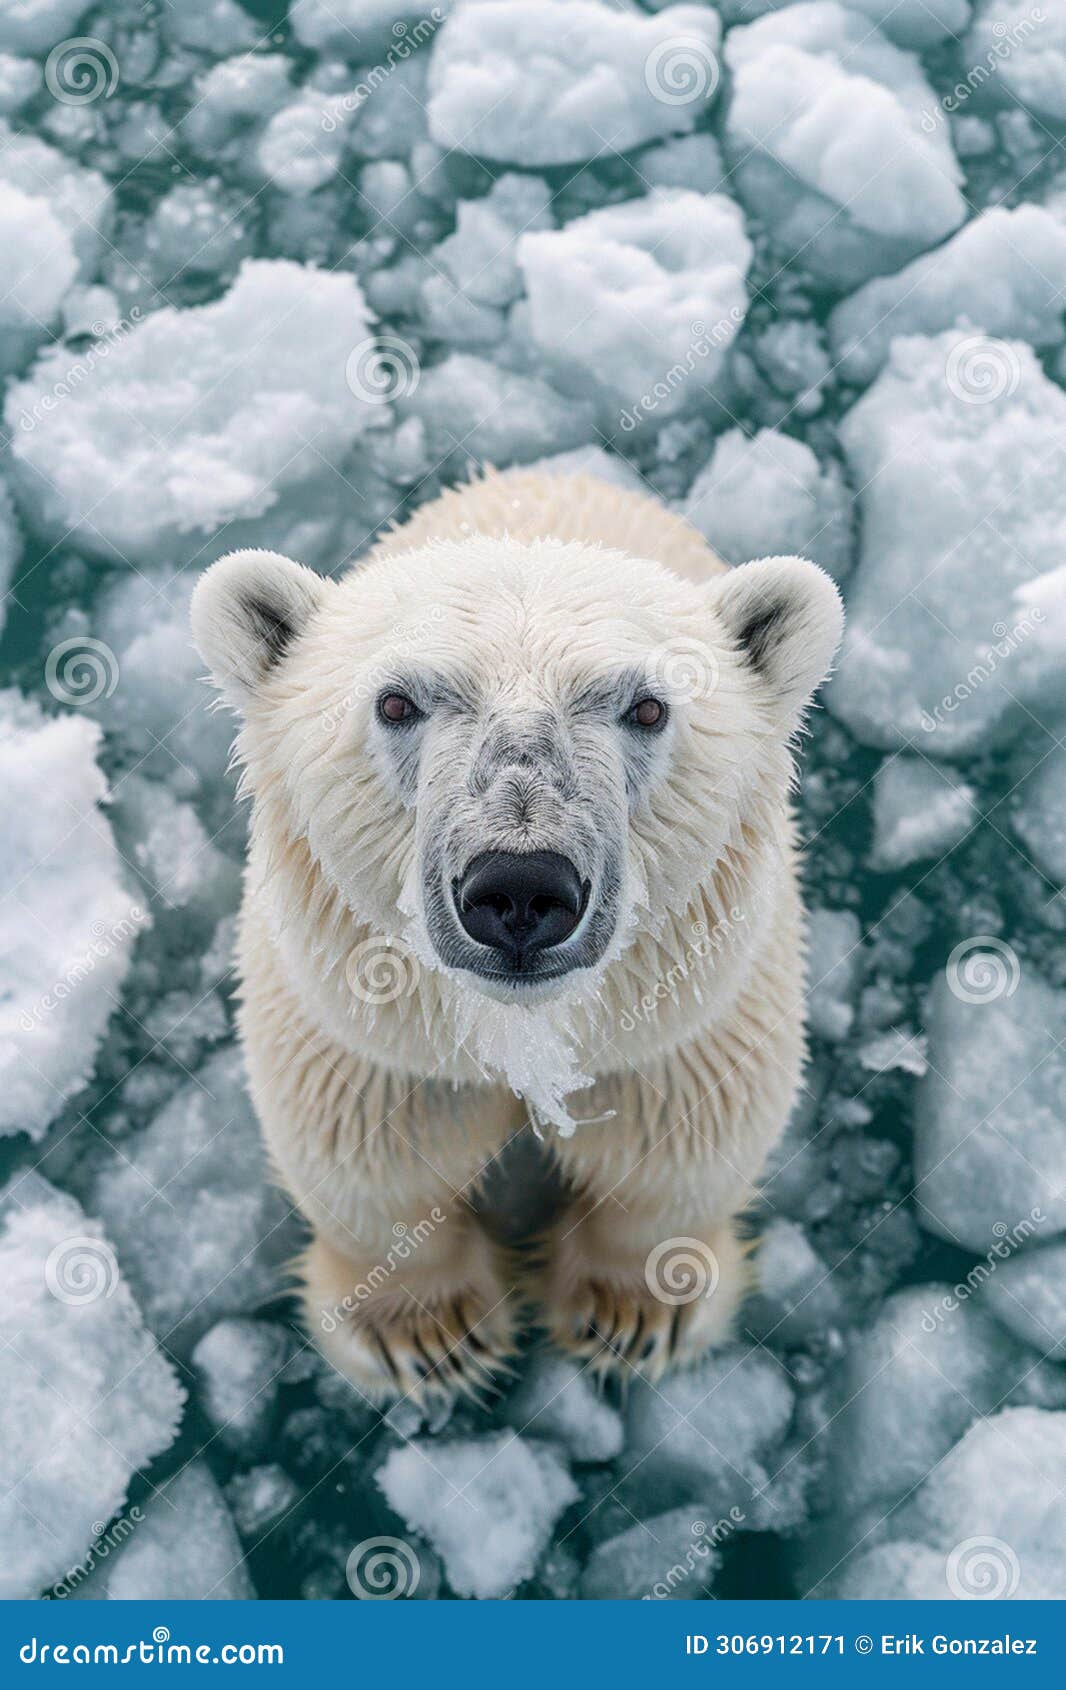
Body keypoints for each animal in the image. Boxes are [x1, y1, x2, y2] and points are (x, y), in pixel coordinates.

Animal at [190, 469, 843, 1406]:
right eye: (397, 701)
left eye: (649, 707)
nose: (522, 887)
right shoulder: (365, 1034)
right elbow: (370, 1164)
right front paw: (428, 1337)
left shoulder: (686, 1020)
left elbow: (682, 1150)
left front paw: (633, 1314)